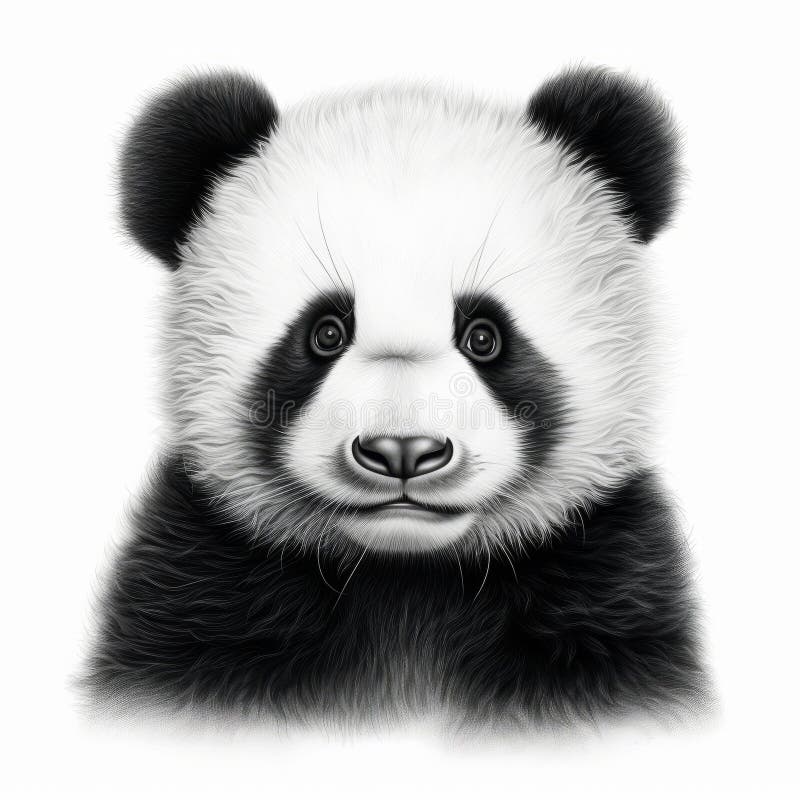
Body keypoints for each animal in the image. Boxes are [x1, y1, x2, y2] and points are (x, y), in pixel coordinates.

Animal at [87, 65, 707, 726]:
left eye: (484, 336)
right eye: (325, 333)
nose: (403, 452)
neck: (403, 576)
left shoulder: (602, 580)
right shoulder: (203, 583)